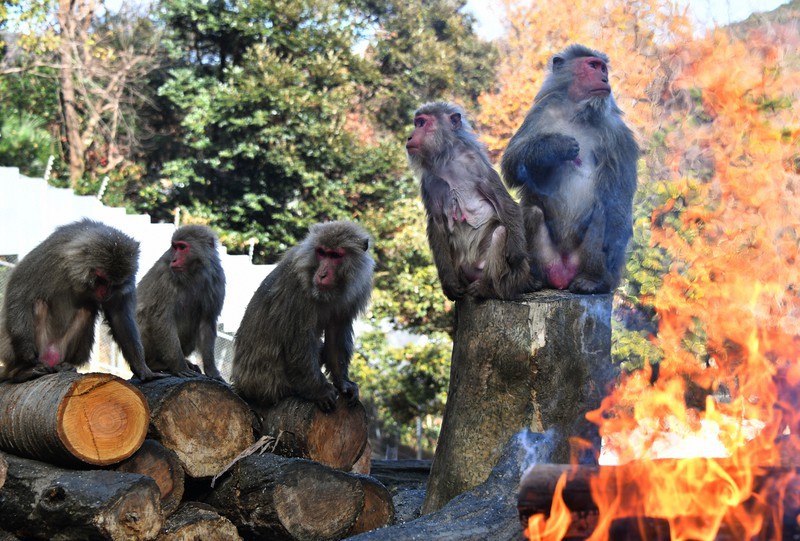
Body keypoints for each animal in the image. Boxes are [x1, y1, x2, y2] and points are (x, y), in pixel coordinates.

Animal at [0, 219, 161, 382]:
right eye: (101, 279)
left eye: (115, 284)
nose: (105, 293)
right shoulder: (51, 255)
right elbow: (19, 290)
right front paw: (26, 351)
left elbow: (119, 316)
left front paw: (142, 368)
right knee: (37, 304)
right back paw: (21, 371)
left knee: (87, 310)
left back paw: (67, 364)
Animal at [136, 225, 226, 379]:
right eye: (175, 247)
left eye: (182, 247)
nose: (174, 260)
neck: (193, 273)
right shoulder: (165, 276)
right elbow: (162, 318)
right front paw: (179, 366)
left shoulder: (217, 278)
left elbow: (206, 321)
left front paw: (211, 370)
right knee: (144, 313)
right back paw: (156, 364)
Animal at [231, 221, 374, 413]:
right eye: (322, 252)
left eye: (335, 255)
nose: (321, 274)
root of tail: (241, 385)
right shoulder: (297, 286)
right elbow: (299, 337)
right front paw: (319, 390)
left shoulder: (357, 289)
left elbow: (336, 333)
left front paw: (343, 382)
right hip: (269, 385)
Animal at [406, 101, 531, 301]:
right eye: (416, 123)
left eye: (422, 123)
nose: (410, 136)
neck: (447, 160)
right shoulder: (429, 181)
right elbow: (437, 223)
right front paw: (449, 283)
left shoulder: (476, 164)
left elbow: (504, 203)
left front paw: (517, 252)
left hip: (504, 278)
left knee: (500, 231)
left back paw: (488, 288)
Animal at [501, 44, 639, 294]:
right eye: (593, 66)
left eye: (603, 68)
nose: (604, 78)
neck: (578, 113)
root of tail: (562, 278)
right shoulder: (541, 111)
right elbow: (512, 164)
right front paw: (555, 146)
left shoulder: (617, 132)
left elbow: (619, 196)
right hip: (549, 260)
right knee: (532, 212)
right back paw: (531, 279)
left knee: (604, 214)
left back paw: (592, 280)